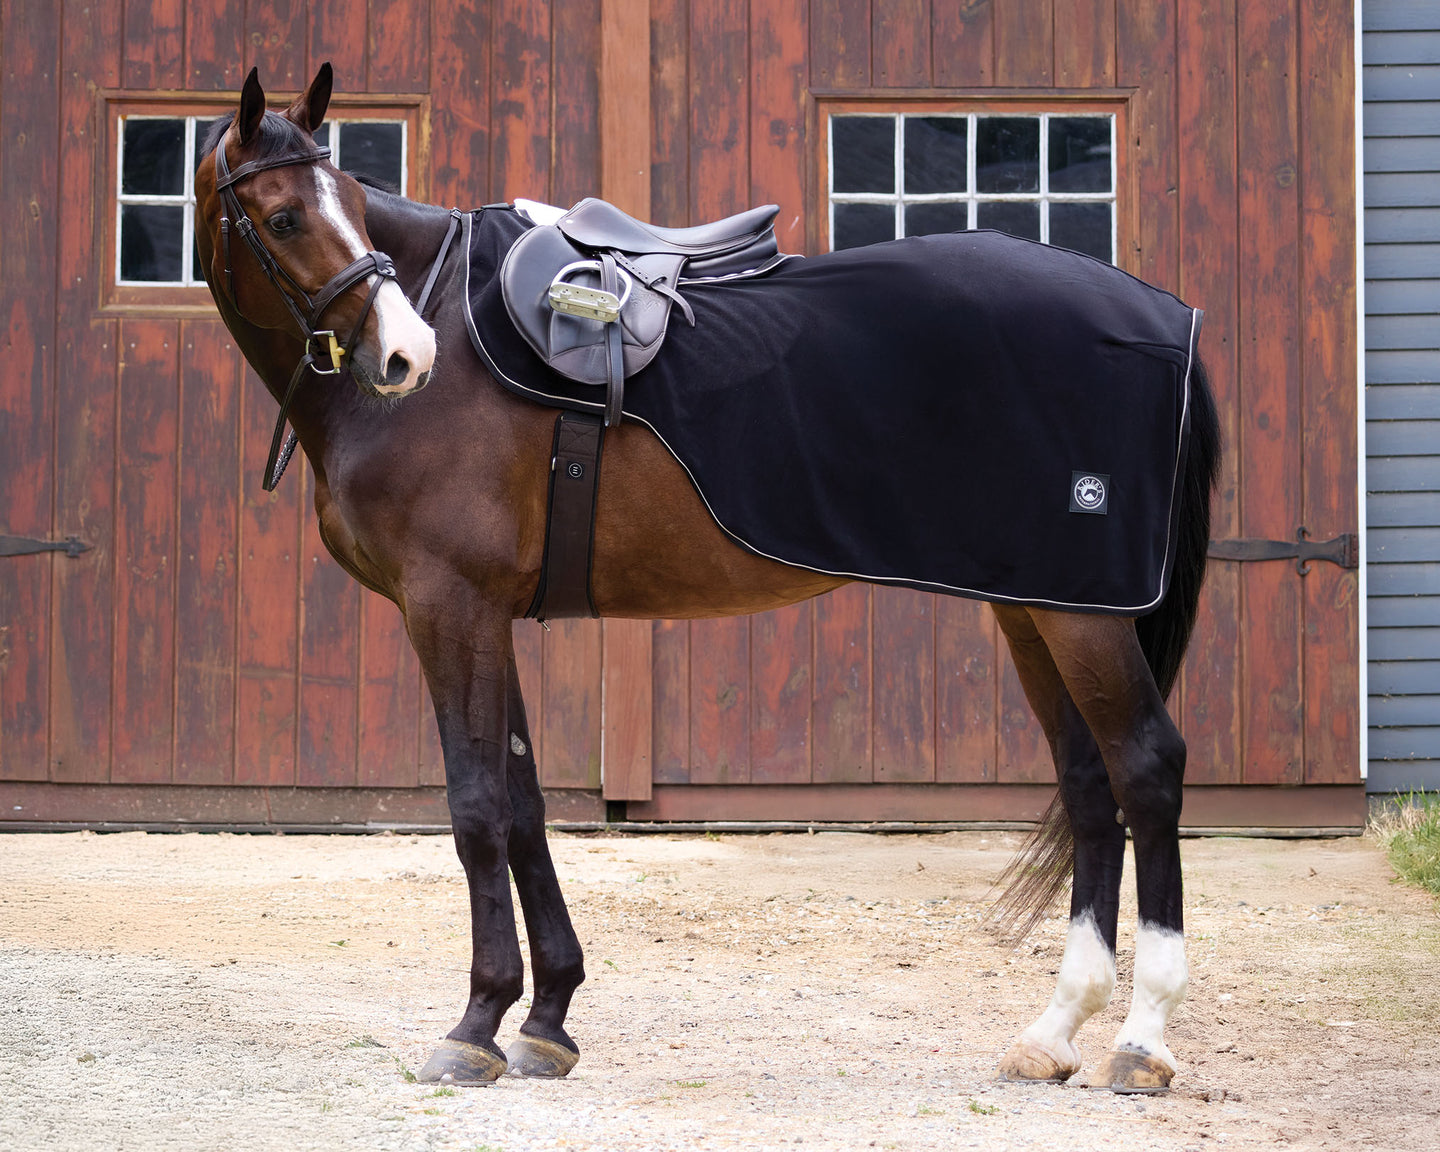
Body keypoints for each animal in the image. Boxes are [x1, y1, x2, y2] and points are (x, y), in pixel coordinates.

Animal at [194, 64, 1220, 1093]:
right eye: (284, 216)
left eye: (348, 199)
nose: (407, 355)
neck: (453, 327)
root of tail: (1160, 313)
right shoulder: (486, 614)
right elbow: (524, 805)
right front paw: (549, 1015)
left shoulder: (450, 606)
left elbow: (478, 805)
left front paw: (478, 1021)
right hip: (1040, 604)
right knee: (1088, 781)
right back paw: (1055, 1031)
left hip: (1082, 616)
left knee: (1144, 767)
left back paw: (1141, 1039)